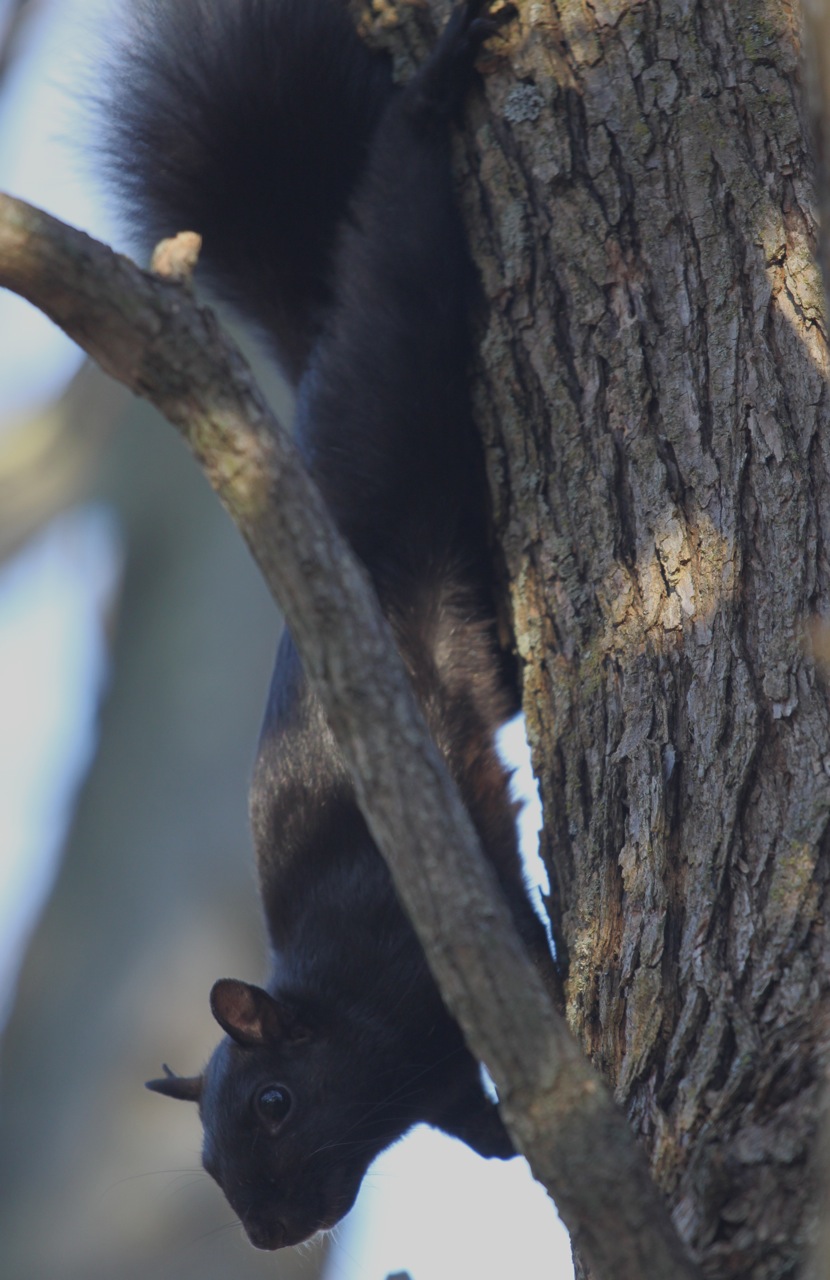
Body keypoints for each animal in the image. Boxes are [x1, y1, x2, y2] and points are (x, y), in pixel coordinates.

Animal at [103, 0, 553, 1251]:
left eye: (274, 1100)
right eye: (207, 1164)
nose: (265, 1230)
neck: (342, 994)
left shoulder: (426, 921)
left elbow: (517, 937)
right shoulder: (436, 1081)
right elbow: (475, 1122)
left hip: (400, 341)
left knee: (400, 207)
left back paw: (434, 88)